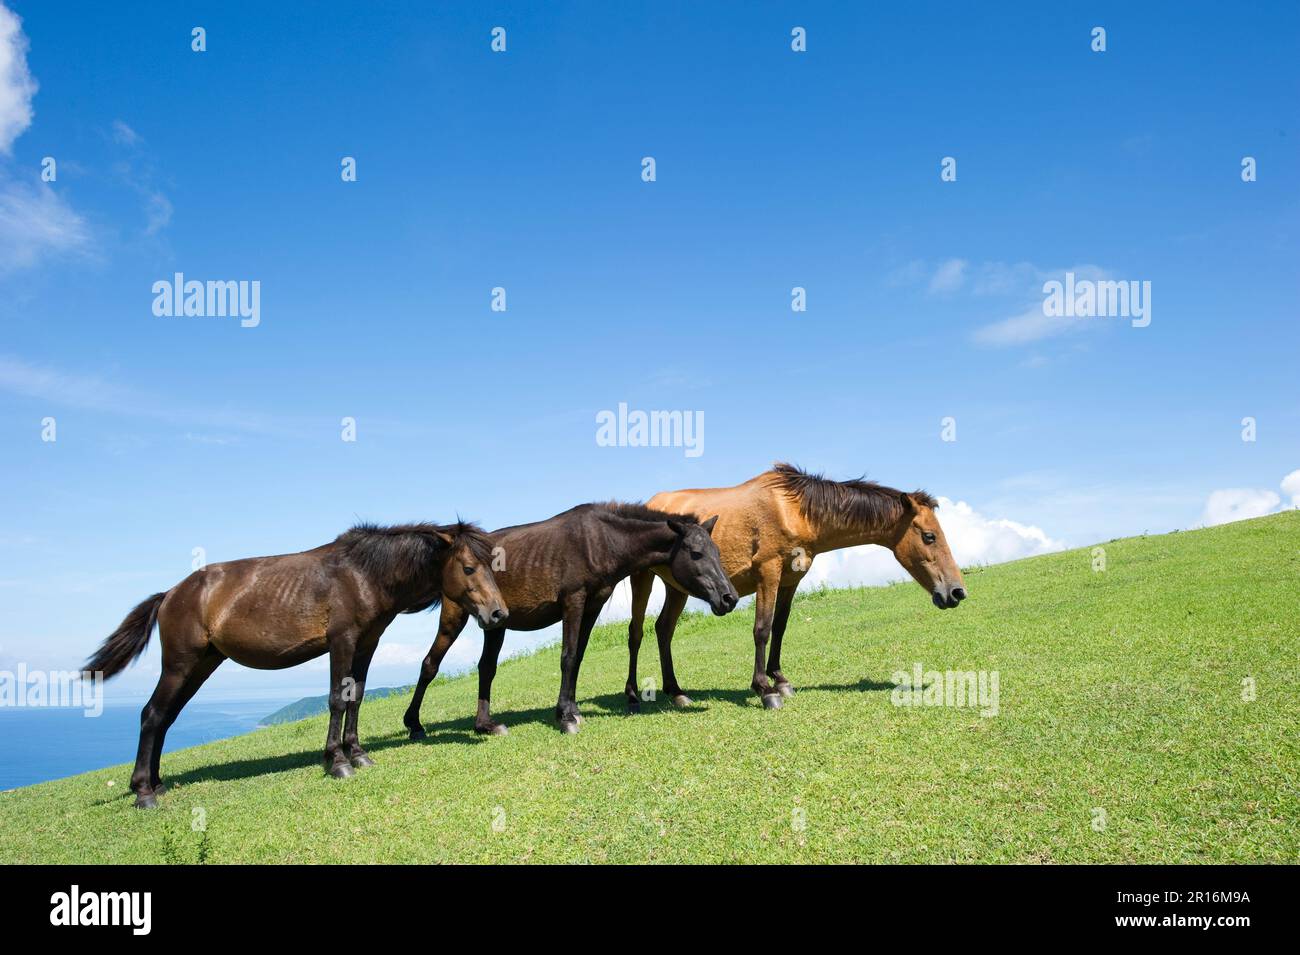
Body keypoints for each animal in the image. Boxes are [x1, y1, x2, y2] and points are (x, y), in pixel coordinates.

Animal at [86, 521, 506, 808]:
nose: (498, 613)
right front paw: (337, 761)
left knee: (166, 718)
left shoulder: (367, 644)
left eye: (490, 565)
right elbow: (337, 699)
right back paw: (143, 791)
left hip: (202, 664)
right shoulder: (342, 642)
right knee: (152, 714)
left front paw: (358, 753)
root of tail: (171, 593)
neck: (362, 574)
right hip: (179, 663)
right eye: (469, 568)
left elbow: (356, 697)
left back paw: (155, 783)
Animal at [403, 502, 739, 737]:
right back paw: (414, 724)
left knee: (486, 668)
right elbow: (567, 657)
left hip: (495, 624)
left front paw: (572, 709)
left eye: (716, 551)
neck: (600, 540)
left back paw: (485, 724)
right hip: (455, 618)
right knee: (430, 665)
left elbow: (577, 657)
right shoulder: (573, 602)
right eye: (695, 554)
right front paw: (565, 717)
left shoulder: (592, 607)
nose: (729, 598)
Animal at [624, 462, 967, 711]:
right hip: (642, 579)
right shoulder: (768, 572)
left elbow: (779, 627)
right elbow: (761, 629)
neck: (794, 510)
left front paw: (780, 680)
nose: (956, 592)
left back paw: (676, 692)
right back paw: (634, 695)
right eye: (929, 536)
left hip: (678, 586)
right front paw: (764, 689)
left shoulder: (790, 580)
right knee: (636, 633)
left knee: (664, 630)